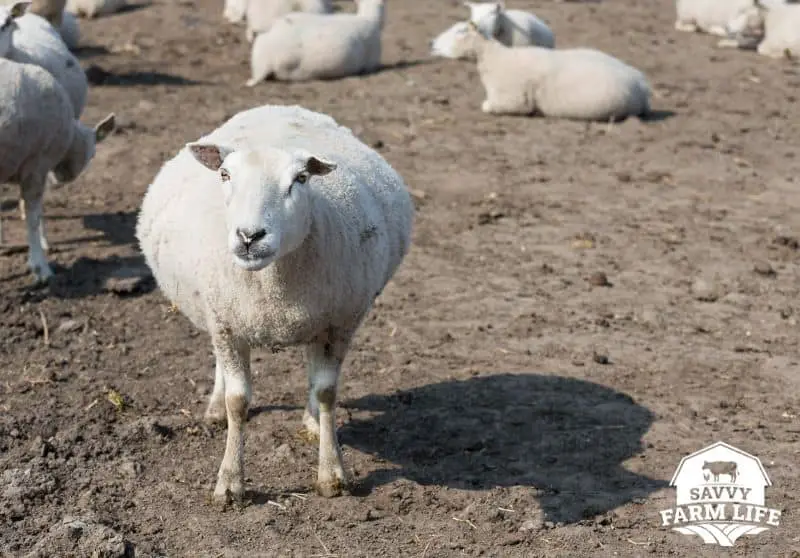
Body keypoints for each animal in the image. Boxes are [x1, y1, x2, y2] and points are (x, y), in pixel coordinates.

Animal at [135, 103, 414, 500]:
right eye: (225, 174)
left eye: (300, 178)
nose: (250, 236)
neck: (273, 288)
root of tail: (278, 108)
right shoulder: (227, 322)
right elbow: (239, 402)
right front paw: (230, 481)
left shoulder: (338, 323)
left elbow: (327, 392)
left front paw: (332, 473)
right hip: (218, 312)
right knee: (221, 363)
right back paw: (216, 407)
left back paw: (311, 421)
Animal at [444, 21, 650, 121]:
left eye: (461, 31)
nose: (435, 45)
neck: (495, 57)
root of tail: (641, 84)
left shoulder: (512, 100)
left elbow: (487, 106)